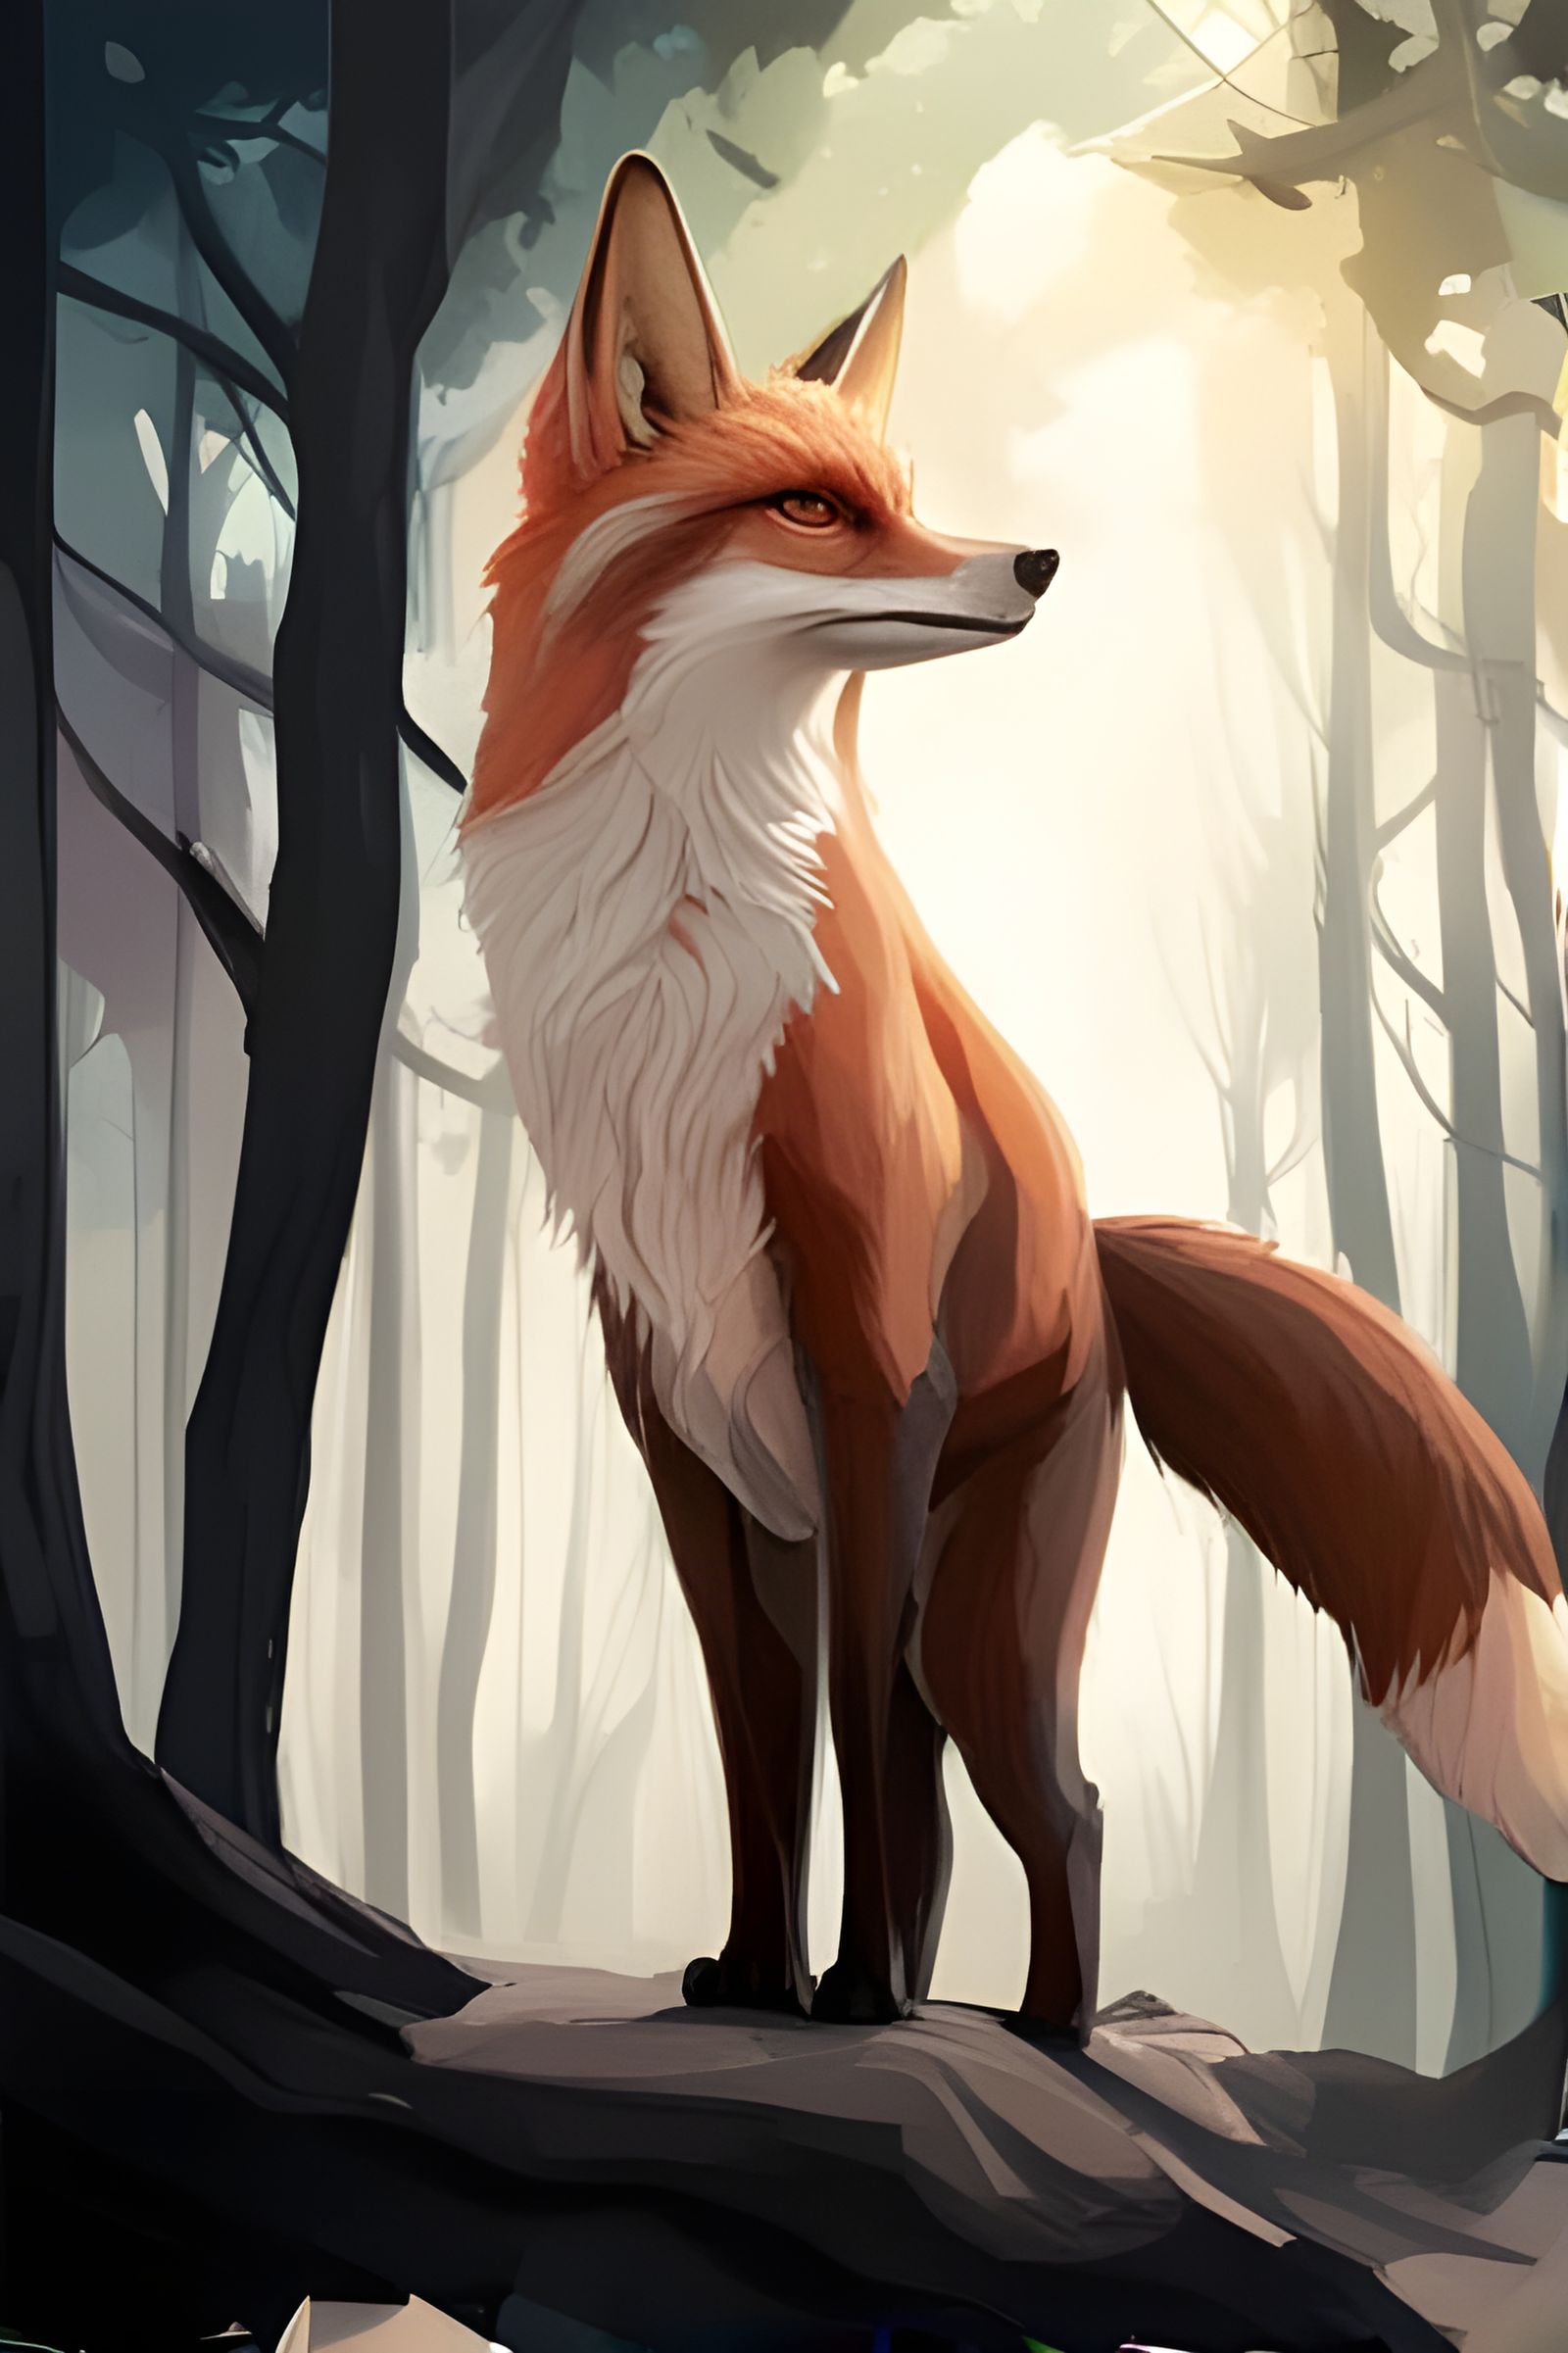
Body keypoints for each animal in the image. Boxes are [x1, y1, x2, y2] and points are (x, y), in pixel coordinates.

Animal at [460, 151, 1568, 2035]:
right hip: (919, 1594)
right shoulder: (685, 1426)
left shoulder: (864, 1363)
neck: (679, 951)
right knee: (947, 1801)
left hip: (981, 1618)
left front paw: (839, 1994)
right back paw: (923, 1991)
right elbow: (761, 1748)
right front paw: (758, 1977)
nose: (1038, 559)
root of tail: (1102, 1259)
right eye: (816, 508)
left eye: (903, 493)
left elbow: (839, 1740)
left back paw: (1035, 2018)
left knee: (1056, 1800)